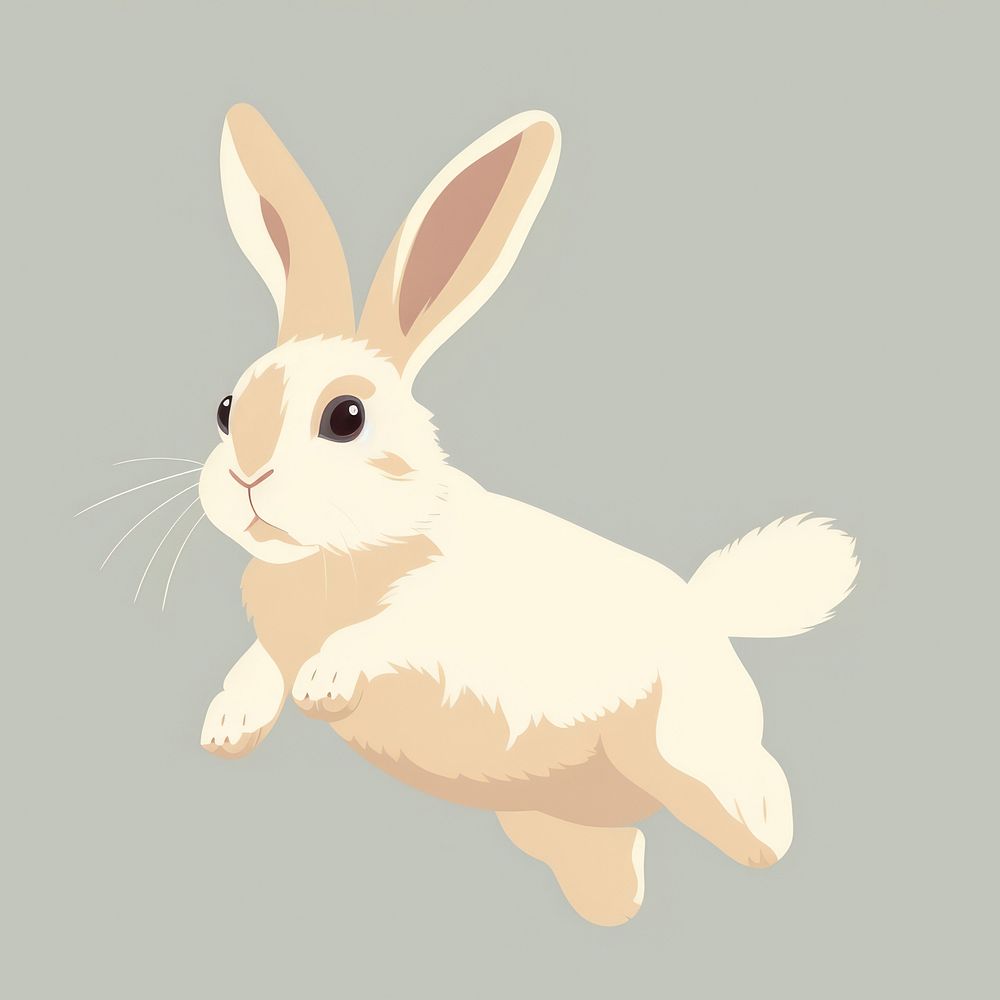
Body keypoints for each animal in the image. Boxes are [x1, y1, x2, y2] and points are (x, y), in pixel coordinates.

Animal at [197, 104, 859, 926]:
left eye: (345, 417)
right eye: (226, 409)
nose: (245, 476)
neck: (337, 558)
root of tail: (706, 614)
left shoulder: (438, 615)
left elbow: (384, 632)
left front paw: (326, 682)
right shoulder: (271, 638)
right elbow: (255, 663)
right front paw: (225, 727)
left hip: (692, 750)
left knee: (763, 806)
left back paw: (761, 842)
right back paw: (613, 904)